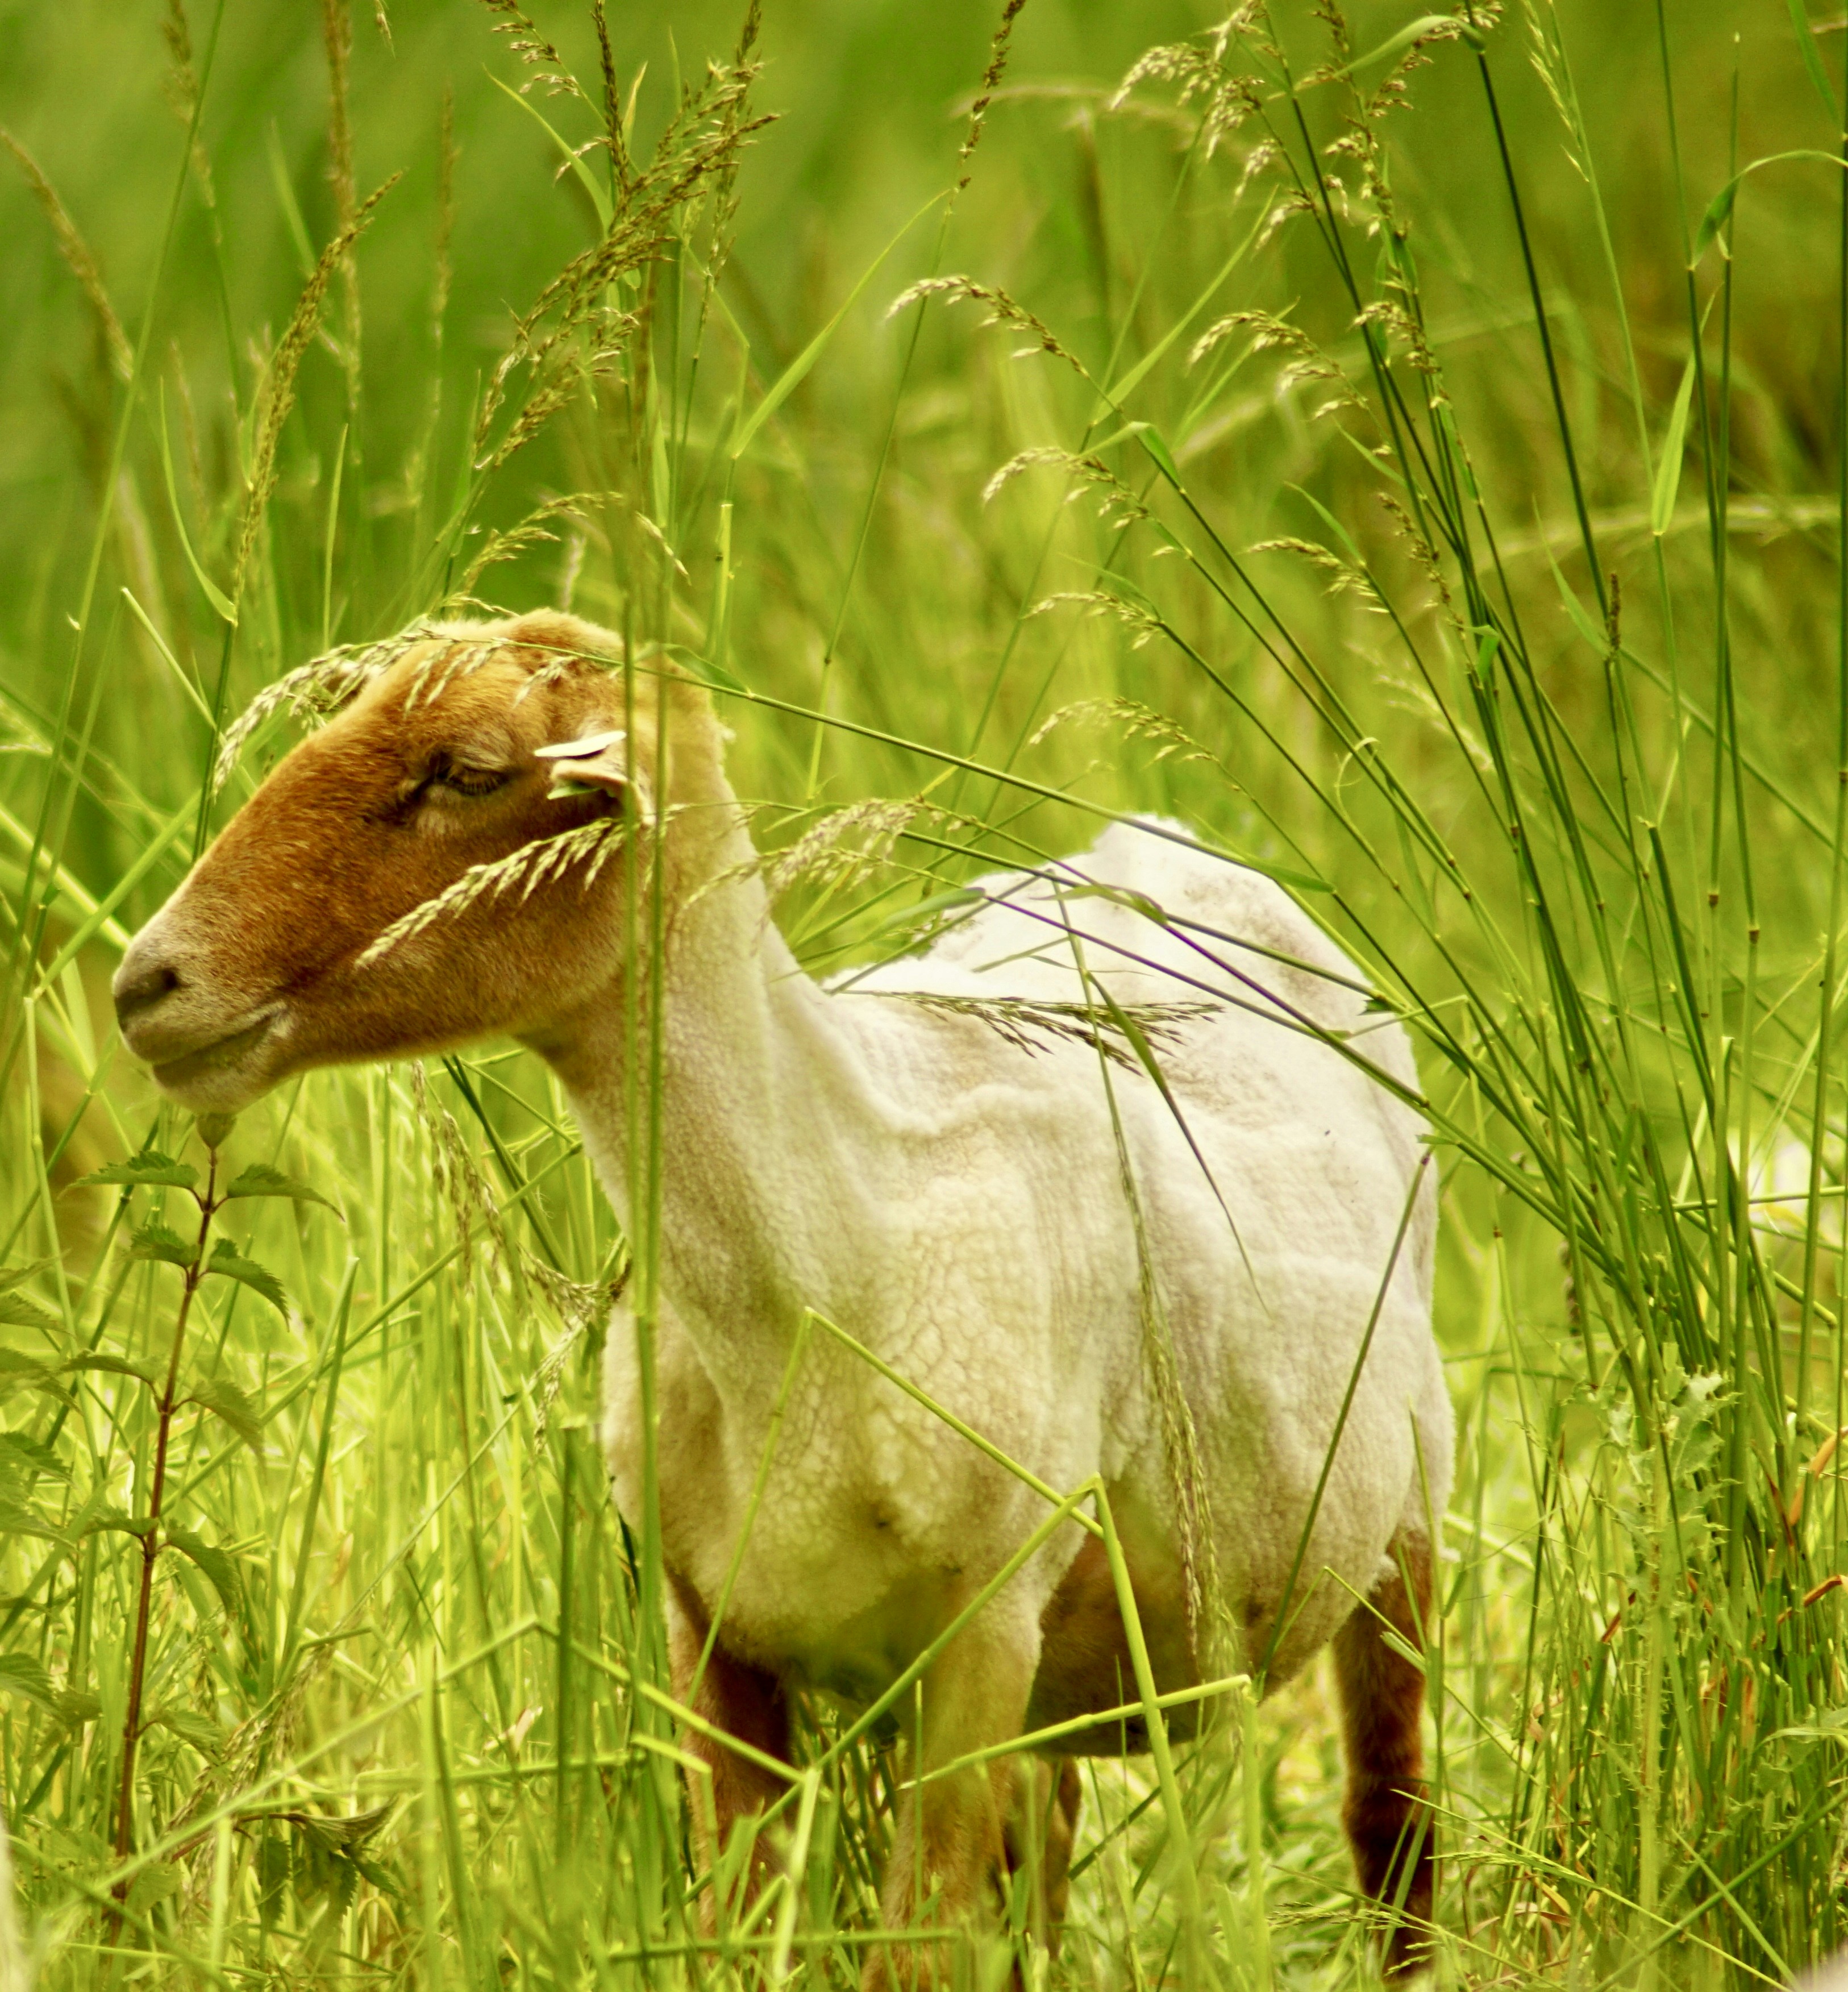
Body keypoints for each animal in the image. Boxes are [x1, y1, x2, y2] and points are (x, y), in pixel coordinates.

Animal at [113, 611, 1453, 1977]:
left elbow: (912, 1954)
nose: (144, 985)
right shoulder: (714, 1634)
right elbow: (738, 1930)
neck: (832, 1239)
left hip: (1402, 1523)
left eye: (470, 771)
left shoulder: (982, 1635)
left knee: (1390, 1825)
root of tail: (1155, 838)